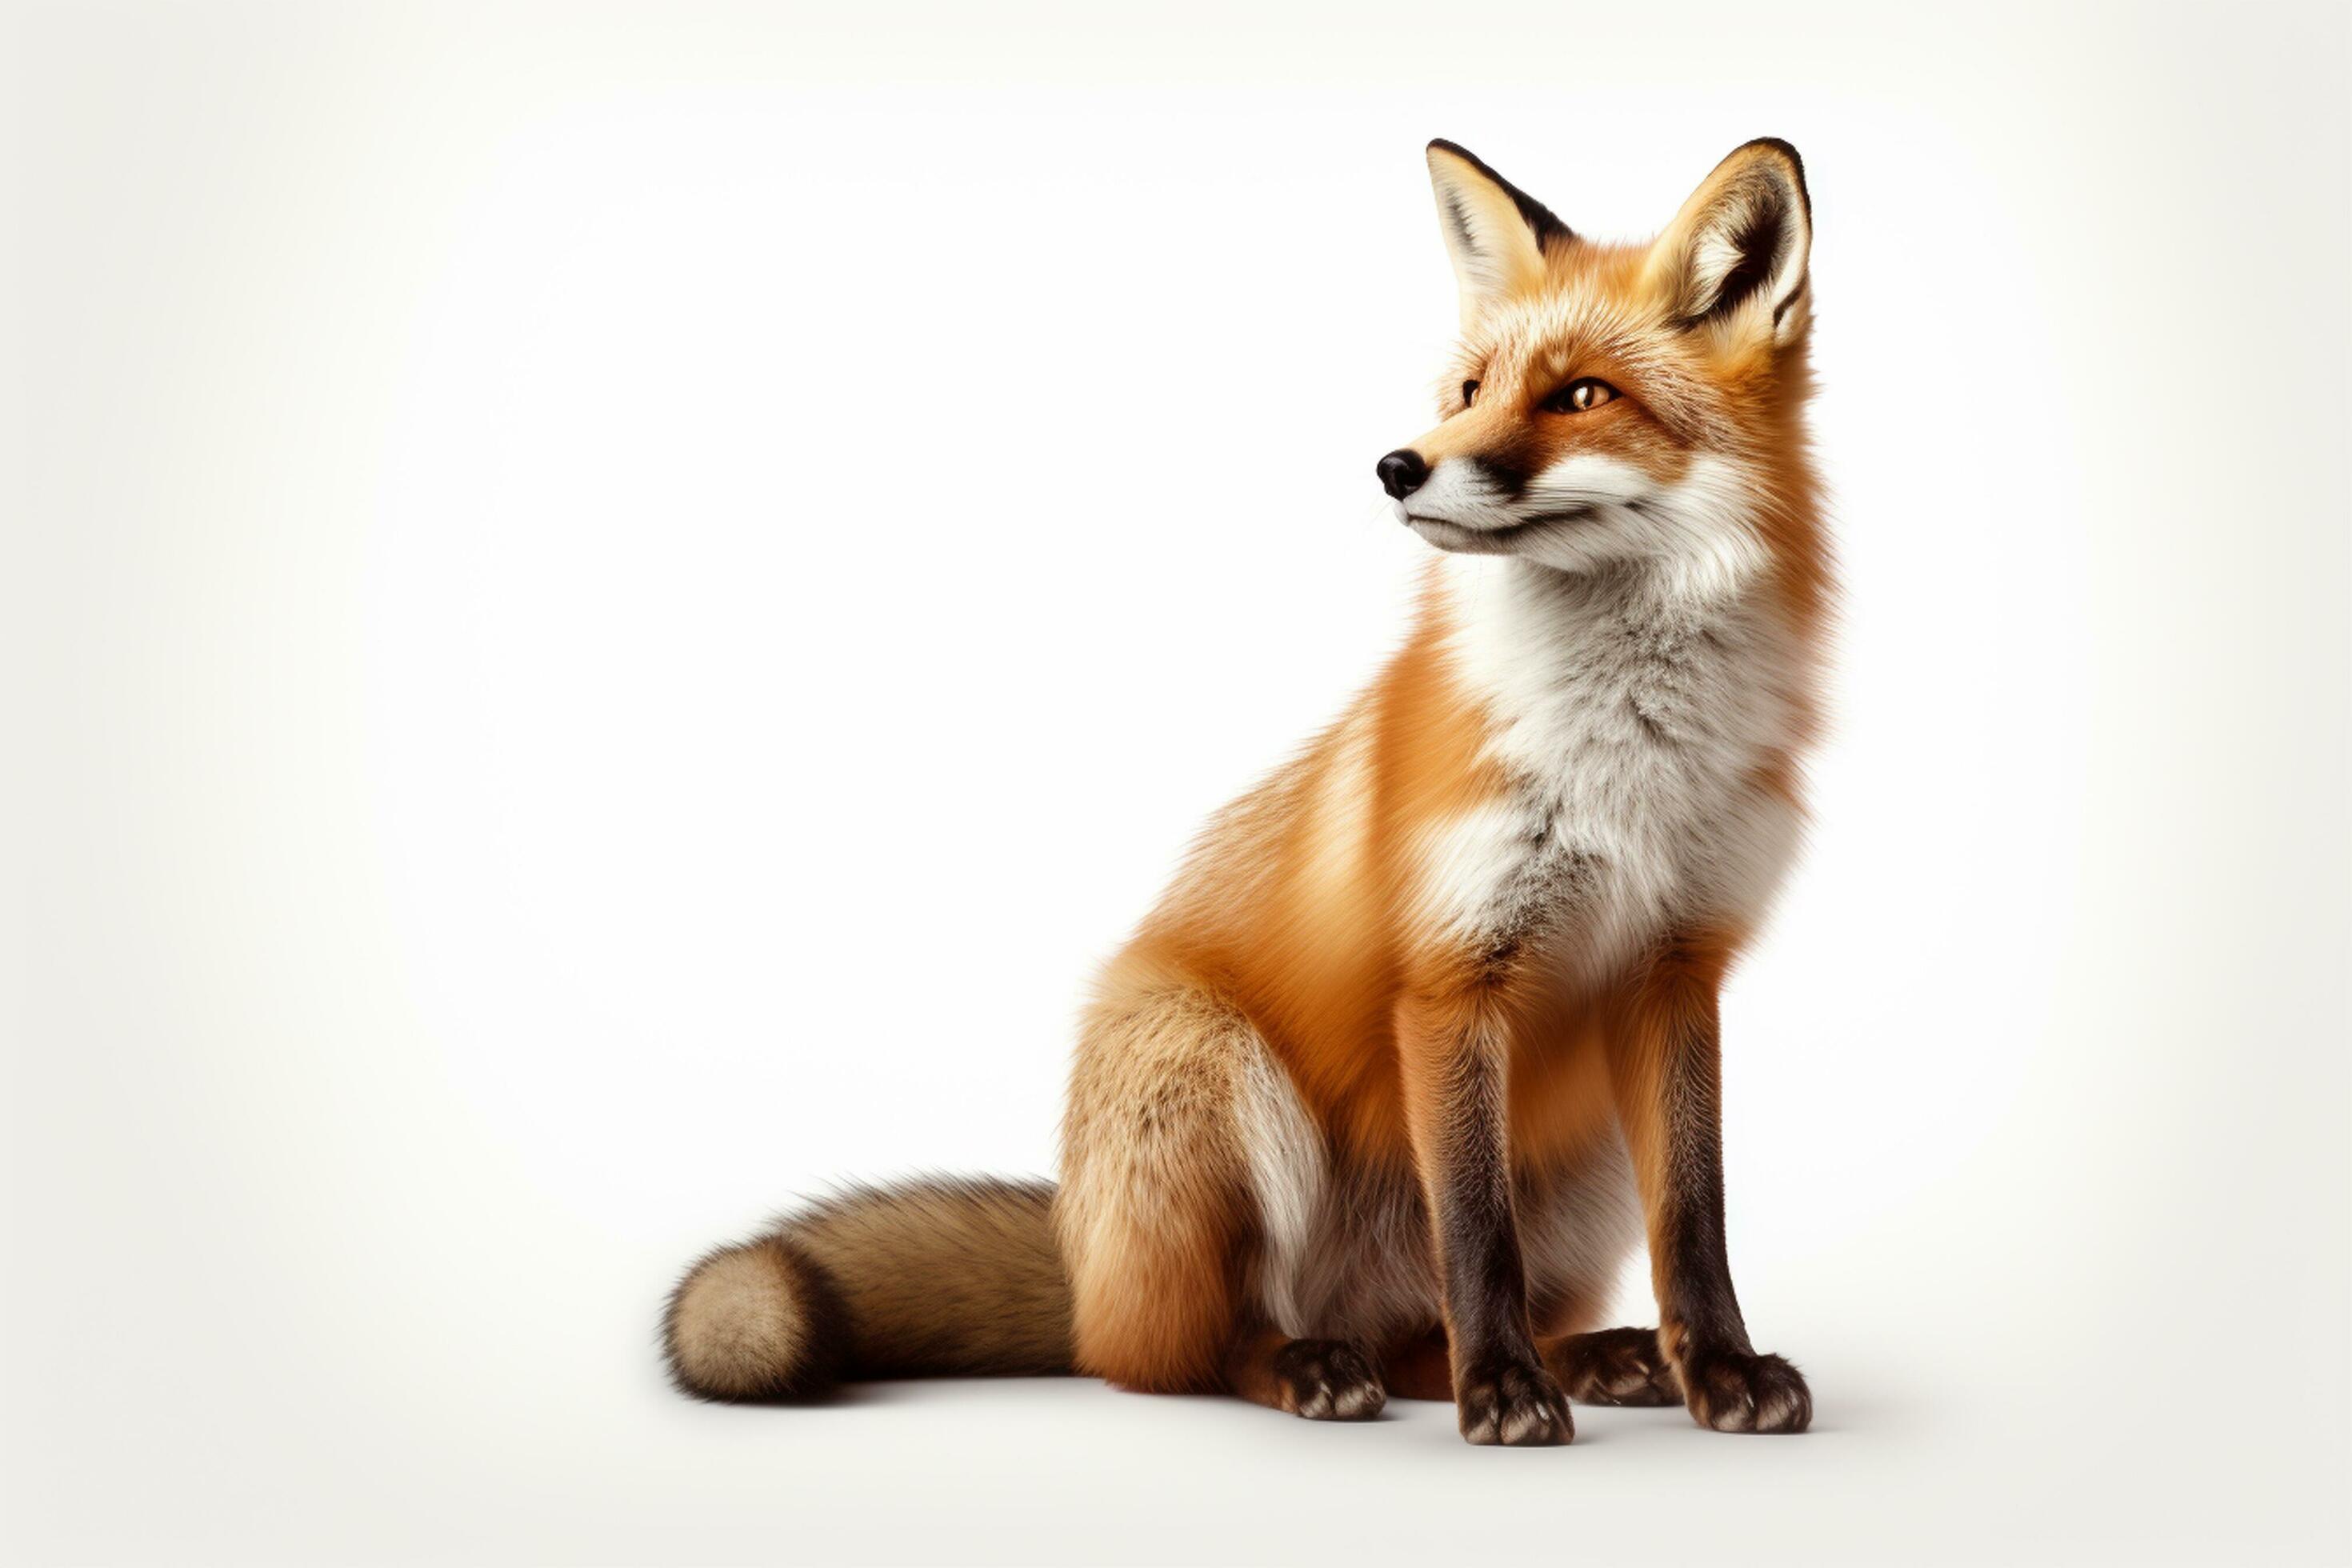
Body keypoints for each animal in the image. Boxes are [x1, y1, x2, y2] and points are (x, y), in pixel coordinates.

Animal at [663, 137, 1829, 1445]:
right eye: (1468, 391)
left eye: (1582, 395)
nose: (1397, 465)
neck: (1624, 764)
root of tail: (1086, 1270)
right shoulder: (1448, 979)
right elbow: (1477, 1233)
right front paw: (1504, 1391)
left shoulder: (1678, 969)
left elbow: (1696, 1217)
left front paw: (1718, 1368)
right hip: (1211, 1065)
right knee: (1194, 1350)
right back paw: (1316, 1367)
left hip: (1578, 1162)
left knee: (1419, 1336)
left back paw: (1587, 1356)